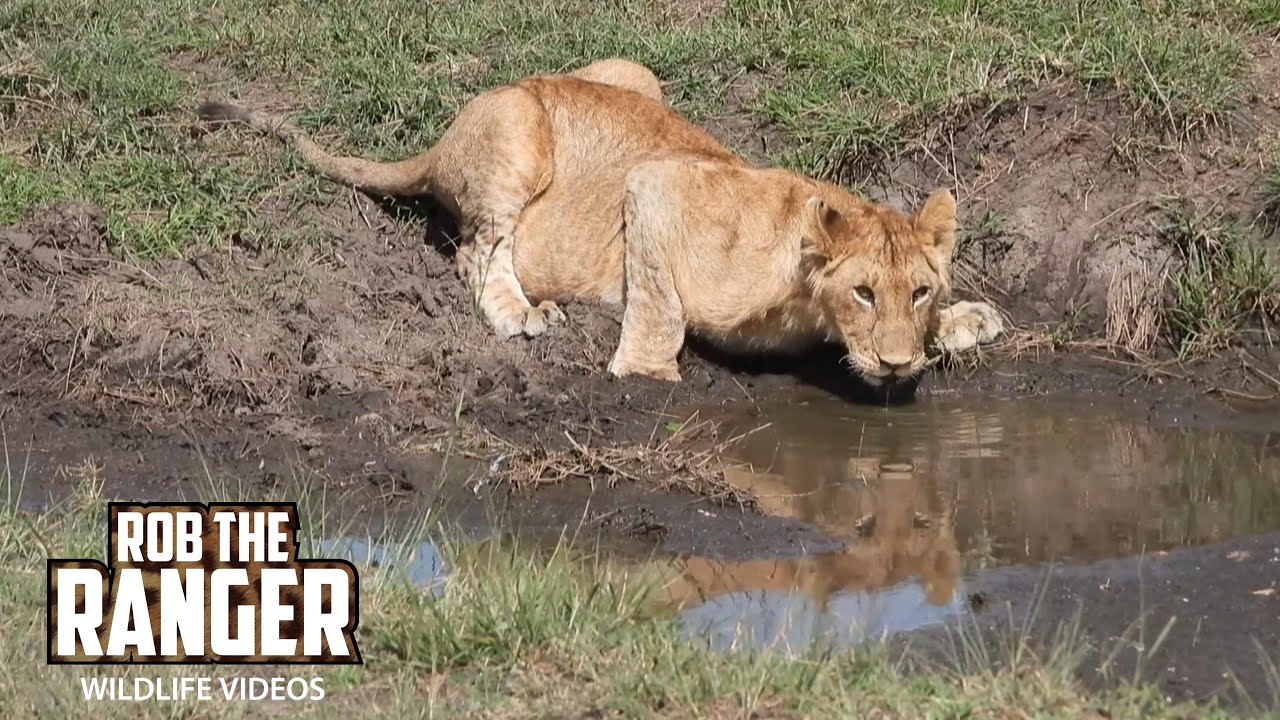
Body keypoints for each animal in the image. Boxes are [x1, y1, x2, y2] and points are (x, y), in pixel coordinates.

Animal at [198, 58, 1003, 385]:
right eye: (863, 292)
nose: (896, 366)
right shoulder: (655, 185)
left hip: (634, 74)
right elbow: (658, 301)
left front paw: (966, 321)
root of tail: (447, 133)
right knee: (476, 252)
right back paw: (521, 314)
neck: (808, 303)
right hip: (519, 130)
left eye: (918, 292)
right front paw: (648, 368)